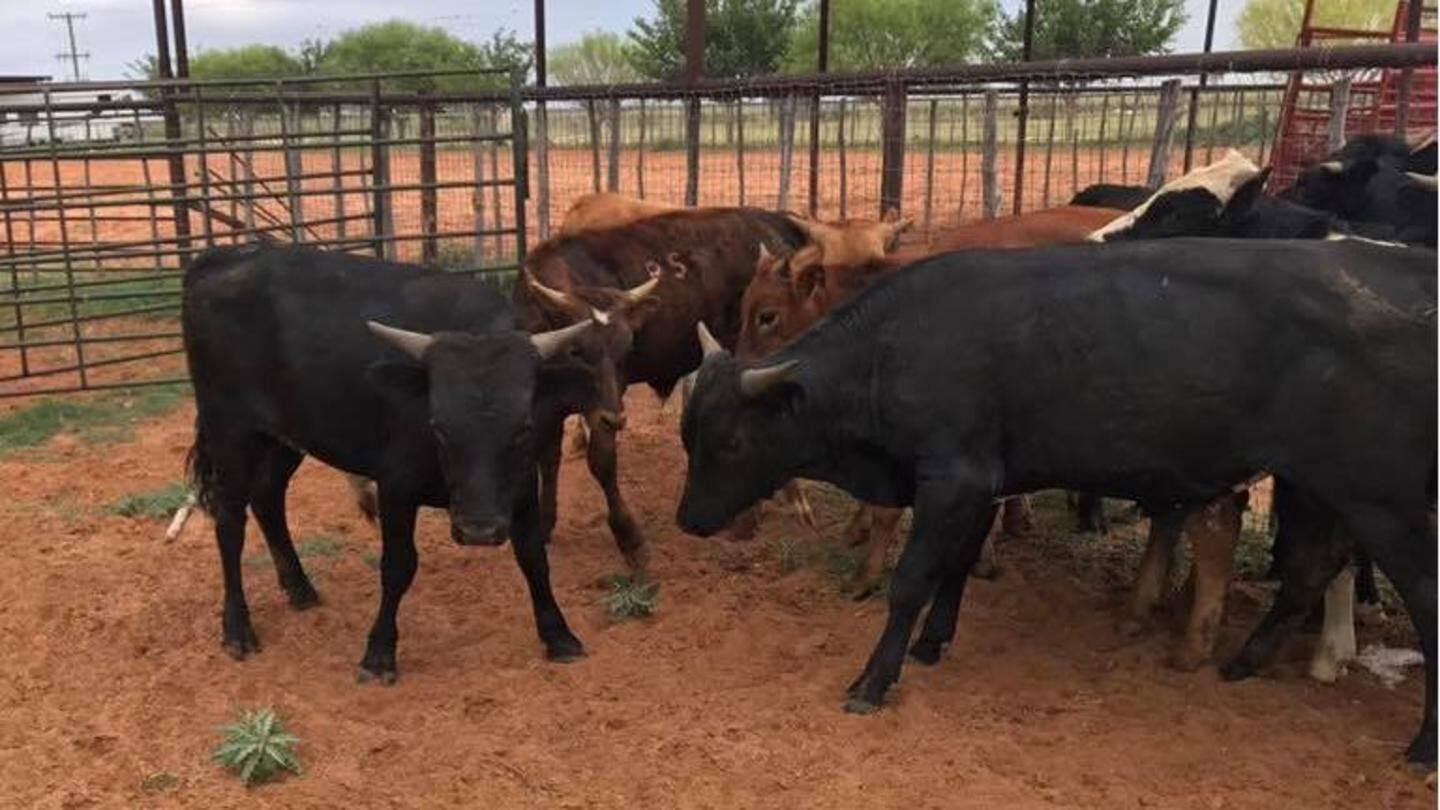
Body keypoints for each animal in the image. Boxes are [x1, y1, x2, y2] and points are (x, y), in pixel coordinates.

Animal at [182, 244, 598, 682]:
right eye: (438, 426)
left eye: (523, 427)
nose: (479, 530)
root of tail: (222, 257)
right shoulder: (396, 486)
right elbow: (398, 566)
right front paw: (379, 652)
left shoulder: (520, 486)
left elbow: (533, 556)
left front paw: (558, 635)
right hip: (230, 430)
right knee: (230, 522)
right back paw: (237, 628)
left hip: (286, 434)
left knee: (267, 496)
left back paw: (300, 588)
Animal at [675, 238, 1436, 764]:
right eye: (688, 435)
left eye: (733, 443)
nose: (688, 520)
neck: (895, 347)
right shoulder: (984, 482)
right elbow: (956, 569)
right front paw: (933, 643)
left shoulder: (952, 478)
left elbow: (911, 580)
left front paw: (874, 679)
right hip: (1321, 488)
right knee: (1312, 565)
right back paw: (1244, 661)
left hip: (1386, 502)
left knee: (1418, 595)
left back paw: (1421, 744)